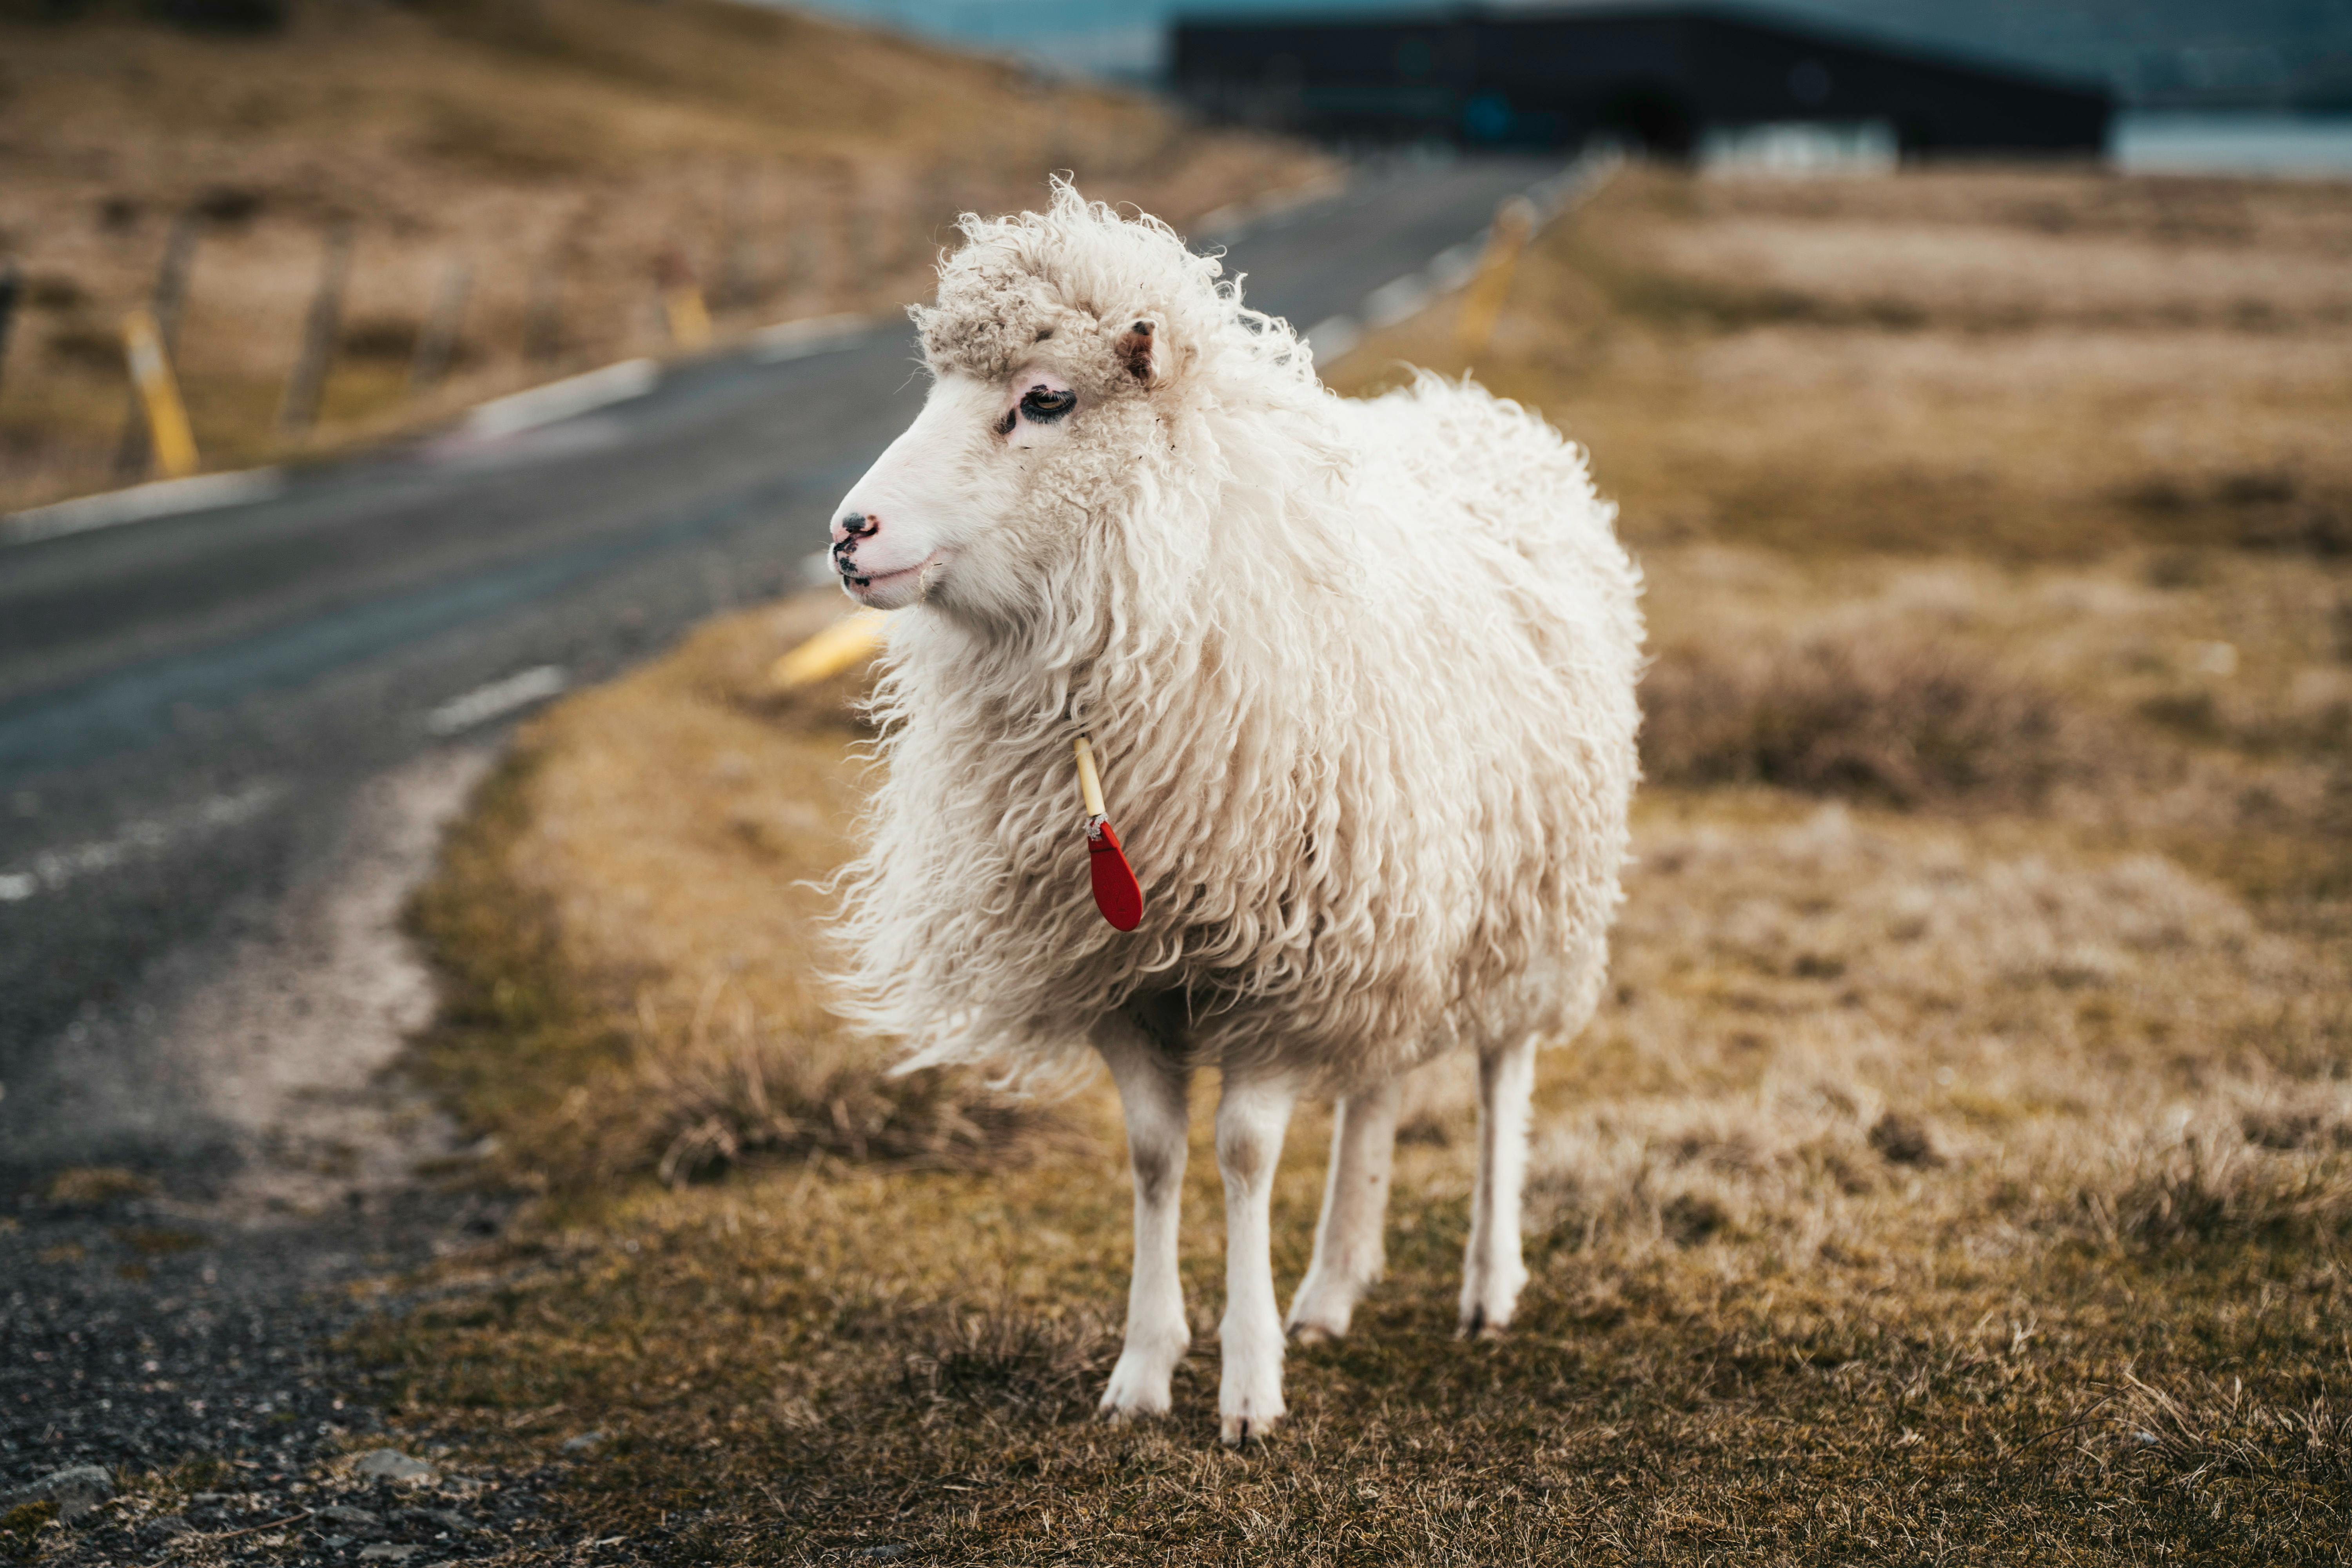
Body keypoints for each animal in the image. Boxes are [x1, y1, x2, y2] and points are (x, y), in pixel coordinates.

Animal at [826, 181, 1642, 1444]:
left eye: (1044, 399)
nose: (848, 534)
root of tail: (1483, 413)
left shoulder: (1279, 964)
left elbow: (1246, 1154)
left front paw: (1250, 1386)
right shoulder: (1122, 971)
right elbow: (1157, 1155)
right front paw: (1143, 1369)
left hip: (1530, 899)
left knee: (1502, 1073)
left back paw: (1487, 1283)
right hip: (1401, 904)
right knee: (1376, 1085)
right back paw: (1336, 1282)